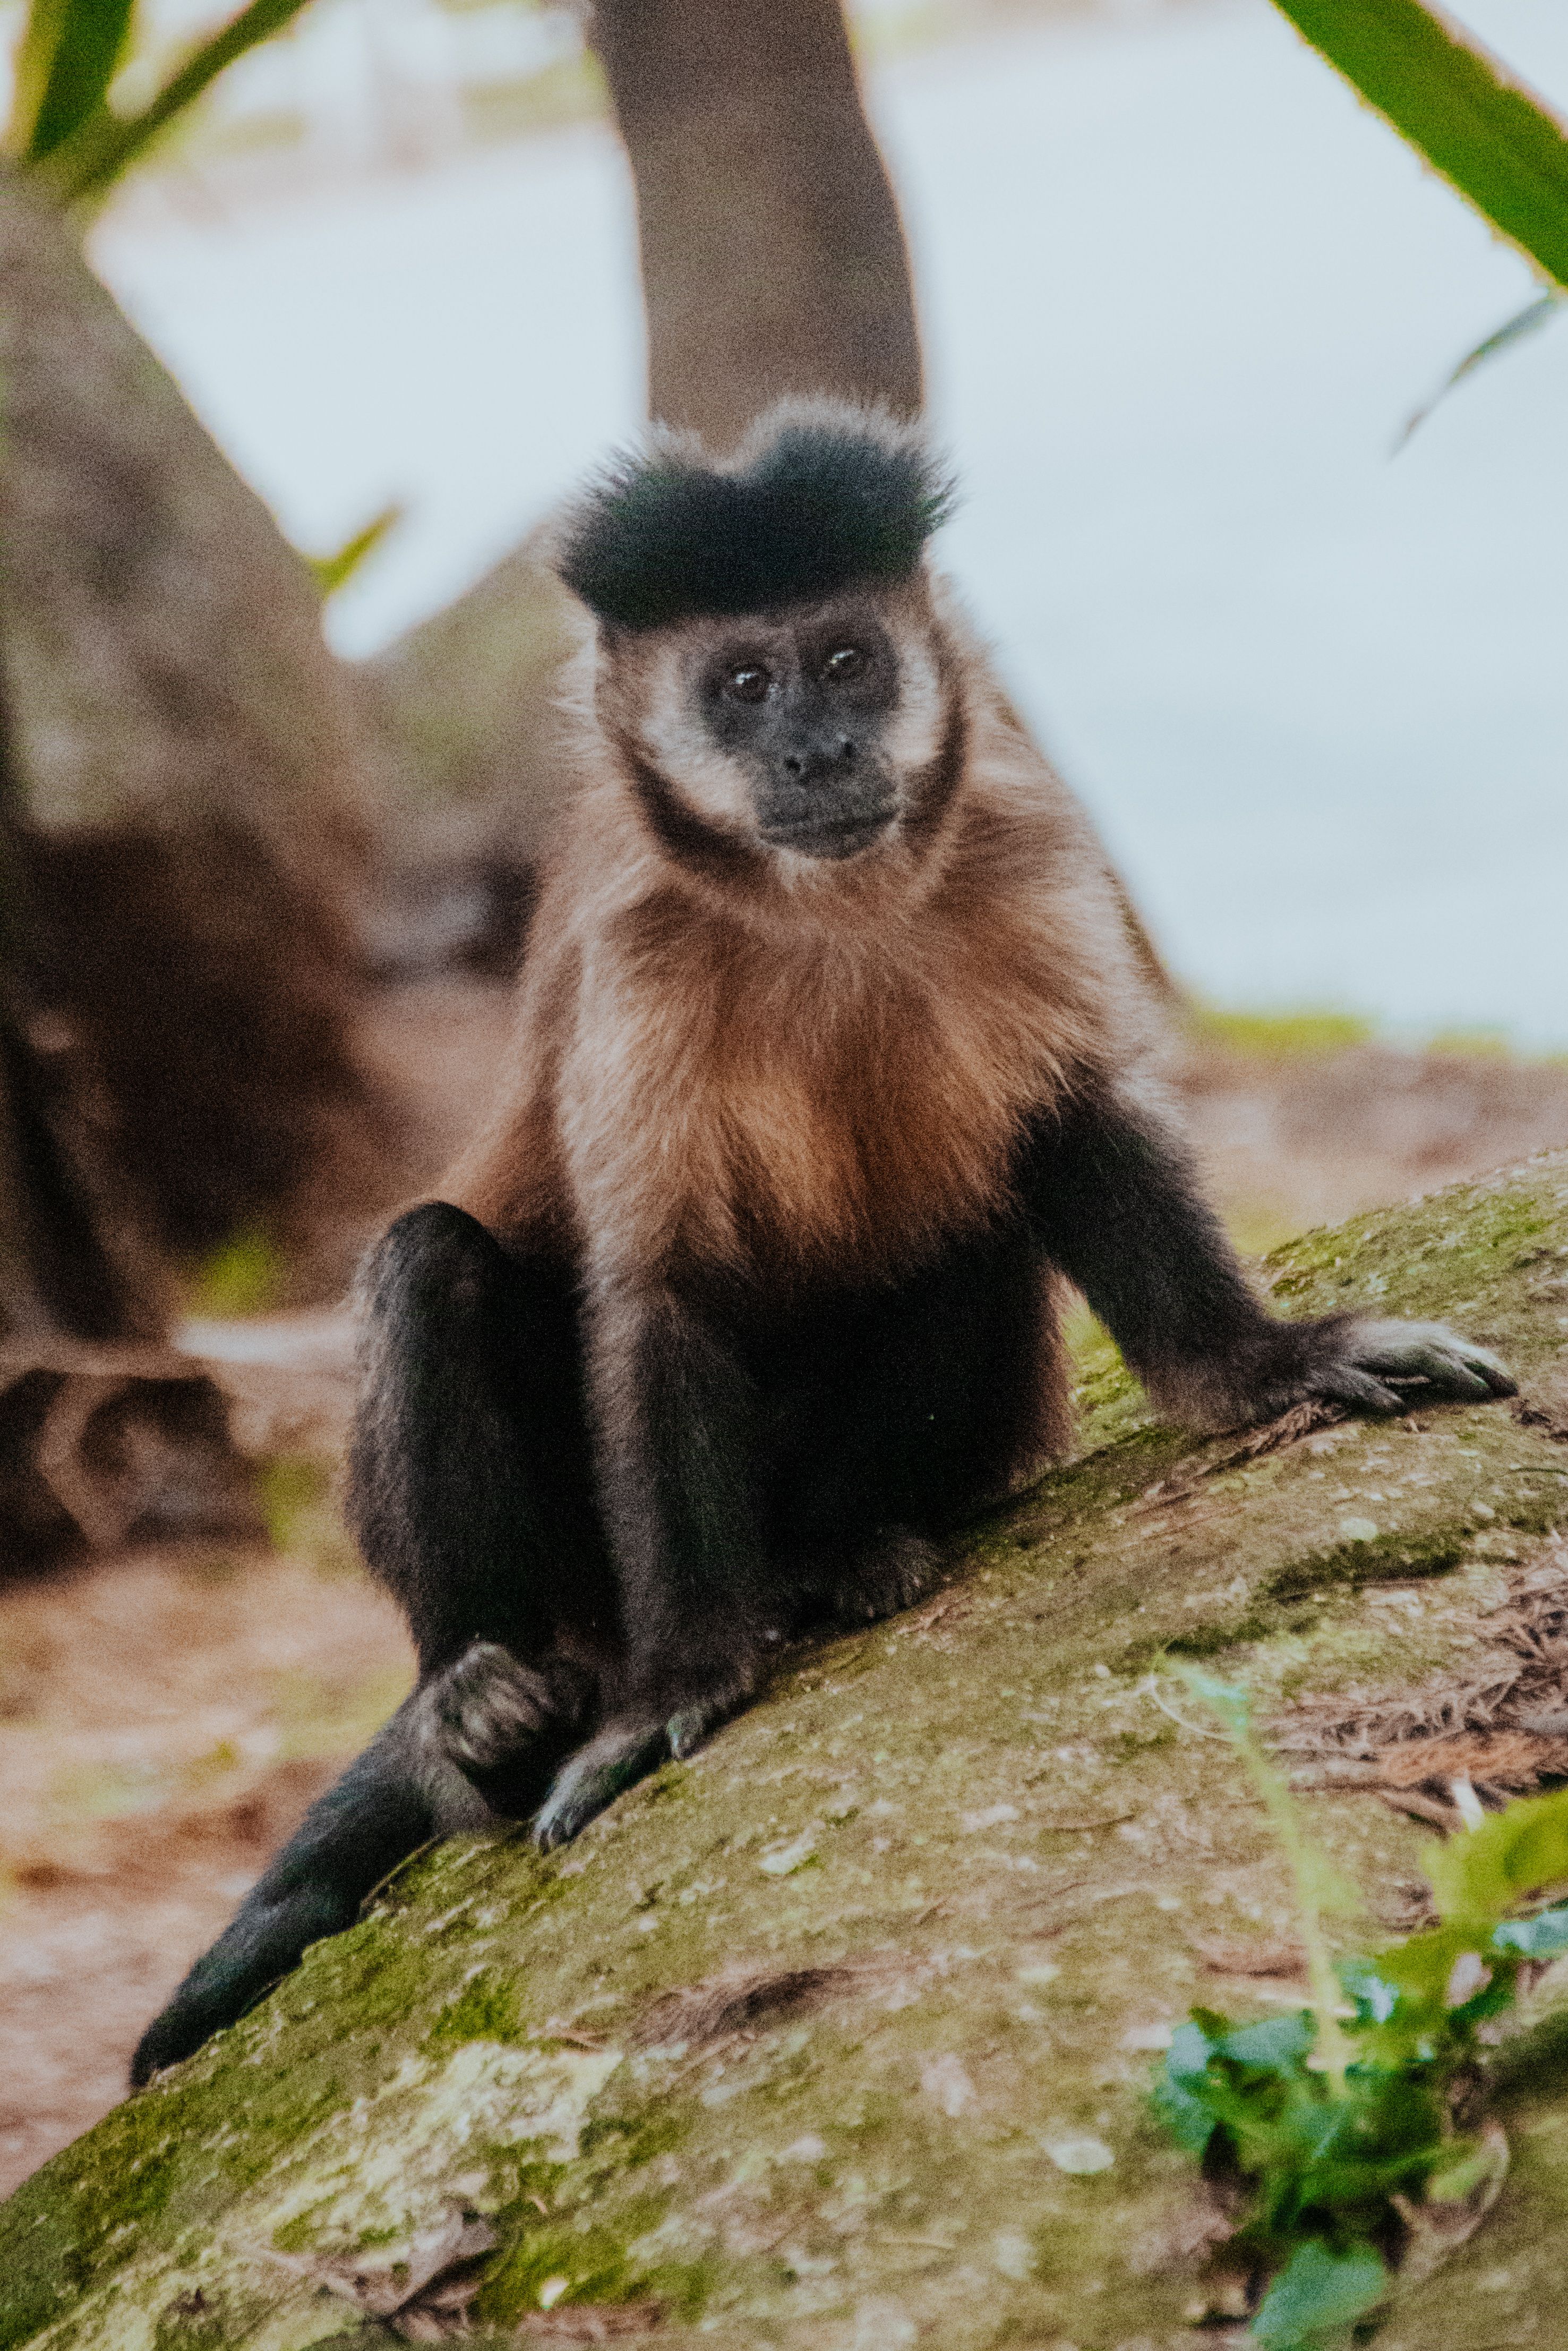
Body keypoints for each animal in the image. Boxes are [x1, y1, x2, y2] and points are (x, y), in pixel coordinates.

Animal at [131, 401, 1515, 2086]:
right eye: (742, 686)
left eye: (847, 662)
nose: (816, 749)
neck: (824, 908)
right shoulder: (637, 949)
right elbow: (651, 1292)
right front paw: (684, 1683)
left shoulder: (1017, 841)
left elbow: (1071, 1128)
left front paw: (1266, 1365)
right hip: (581, 1579)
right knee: (428, 1264)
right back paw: (486, 1714)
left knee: (968, 1232)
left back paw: (840, 1553)